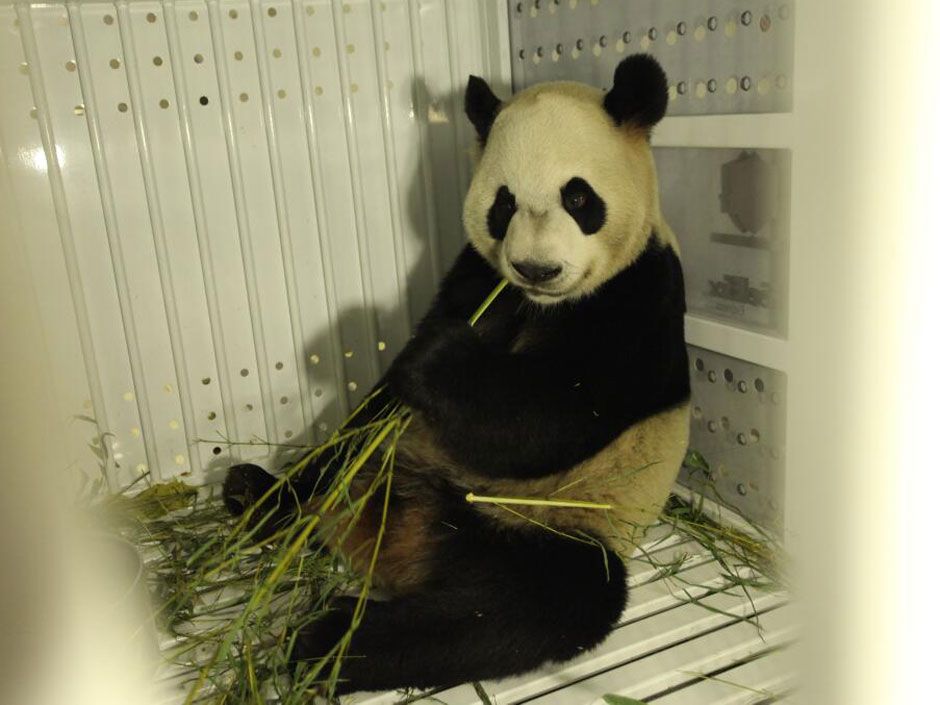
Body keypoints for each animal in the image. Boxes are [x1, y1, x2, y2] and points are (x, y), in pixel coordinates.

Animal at [223, 53, 690, 696]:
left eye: (578, 198)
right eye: (504, 203)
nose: (535, 268)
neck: (539, 305)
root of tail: (393, 538)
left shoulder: (639, 299)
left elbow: (549, 420)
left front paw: (432, 359)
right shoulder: (476, 274)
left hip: (544, 526)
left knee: (528, 606)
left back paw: (326, 639)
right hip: (384, 456)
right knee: (340, 454)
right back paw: (254, 494)